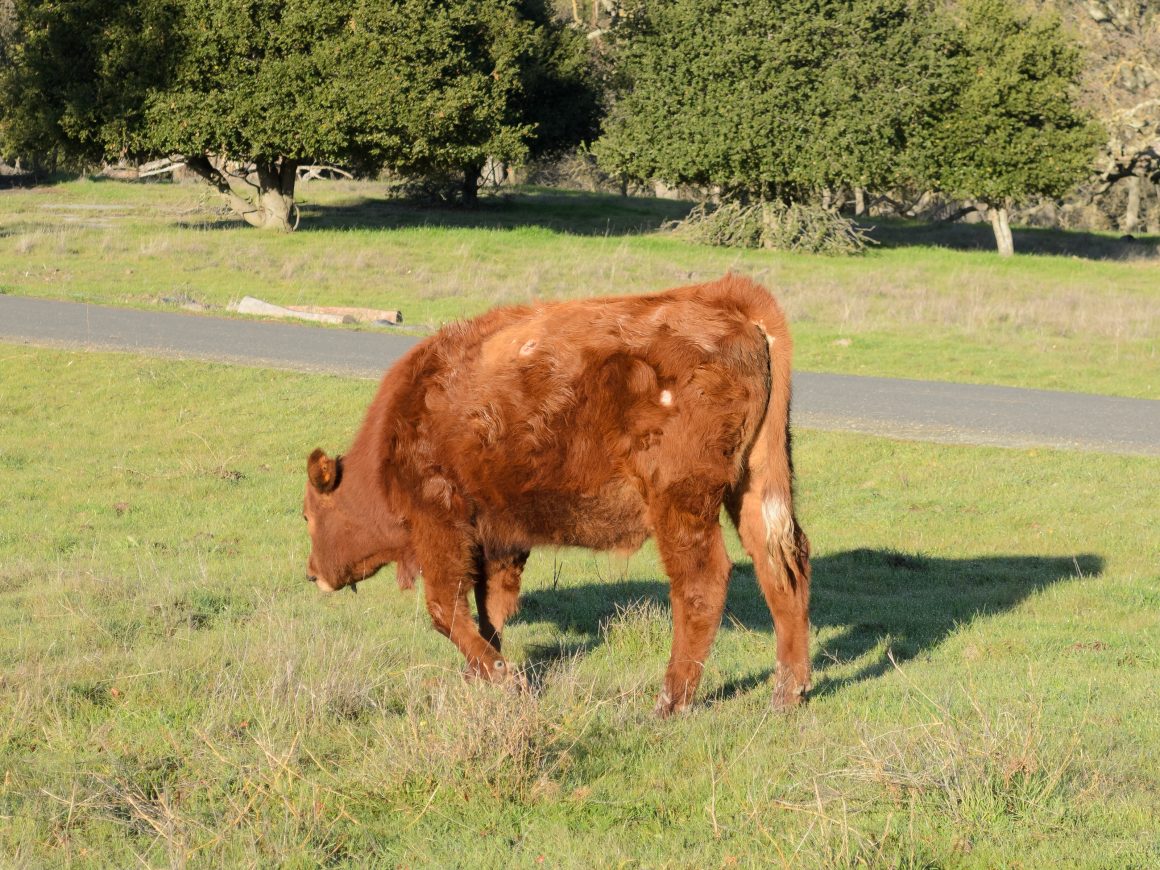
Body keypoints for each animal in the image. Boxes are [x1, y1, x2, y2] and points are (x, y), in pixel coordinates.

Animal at [303, 275, 811, 715]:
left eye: (308, 515)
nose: (312, 575)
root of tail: (723, 299)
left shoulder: (440, 524)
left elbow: (446, 610)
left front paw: (504, 680)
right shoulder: (497, 537)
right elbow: (491, 609)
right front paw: (485, 674)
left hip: (681, 502)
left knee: (702, 584)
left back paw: (669, 703)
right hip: (754, 483)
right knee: (782, 564)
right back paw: (788, 694)